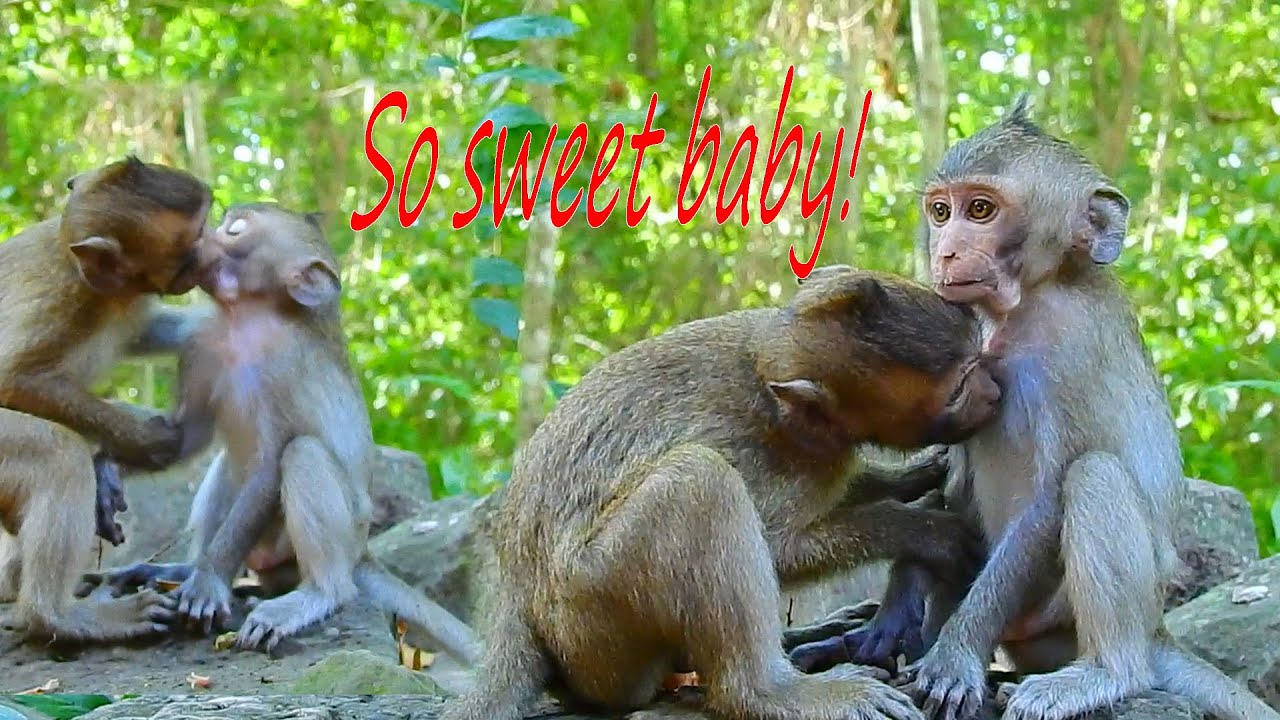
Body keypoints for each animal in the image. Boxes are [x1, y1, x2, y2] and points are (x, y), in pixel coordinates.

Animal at [0, 156, 213, 644]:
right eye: (193, 242)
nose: (212, 253)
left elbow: (144, 331)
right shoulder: (66, 303)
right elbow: (13, 378)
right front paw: (149, 443)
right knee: (58, 454)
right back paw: (55, 616)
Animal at [74, 203, 481, 665]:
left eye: (234, 231)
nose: (198, 243)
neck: (247, 321)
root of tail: (362, 550)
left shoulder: (285, 369)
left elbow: (271, 463)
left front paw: (209, 581)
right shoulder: (202, 343)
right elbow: (183, 438)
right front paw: (106, 471)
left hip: (321, 539)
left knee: (303, 455)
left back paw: (315, 593)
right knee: (227, 465)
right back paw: (181, 569)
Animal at [438, 264, 1003, 720]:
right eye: (960, 387)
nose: (995, 392)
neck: (777, 394)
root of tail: (515, 596)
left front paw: (913, 477)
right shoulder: (763, 451)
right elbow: (781, 547)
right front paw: (923, 530)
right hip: (592, 623)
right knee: (698, 482)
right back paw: (769, 691)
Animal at [865, 95, 1279, 720]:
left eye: (980, 210)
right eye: (941, 211)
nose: (946, 251)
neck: (1033, 297)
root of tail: (1157, 630)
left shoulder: (1071, 349)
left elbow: (1046, 503)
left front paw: (954, 654)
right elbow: (953, 491)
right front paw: (908, 621)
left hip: (1068, 610)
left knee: (1094, 476)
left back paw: (1106, 672)